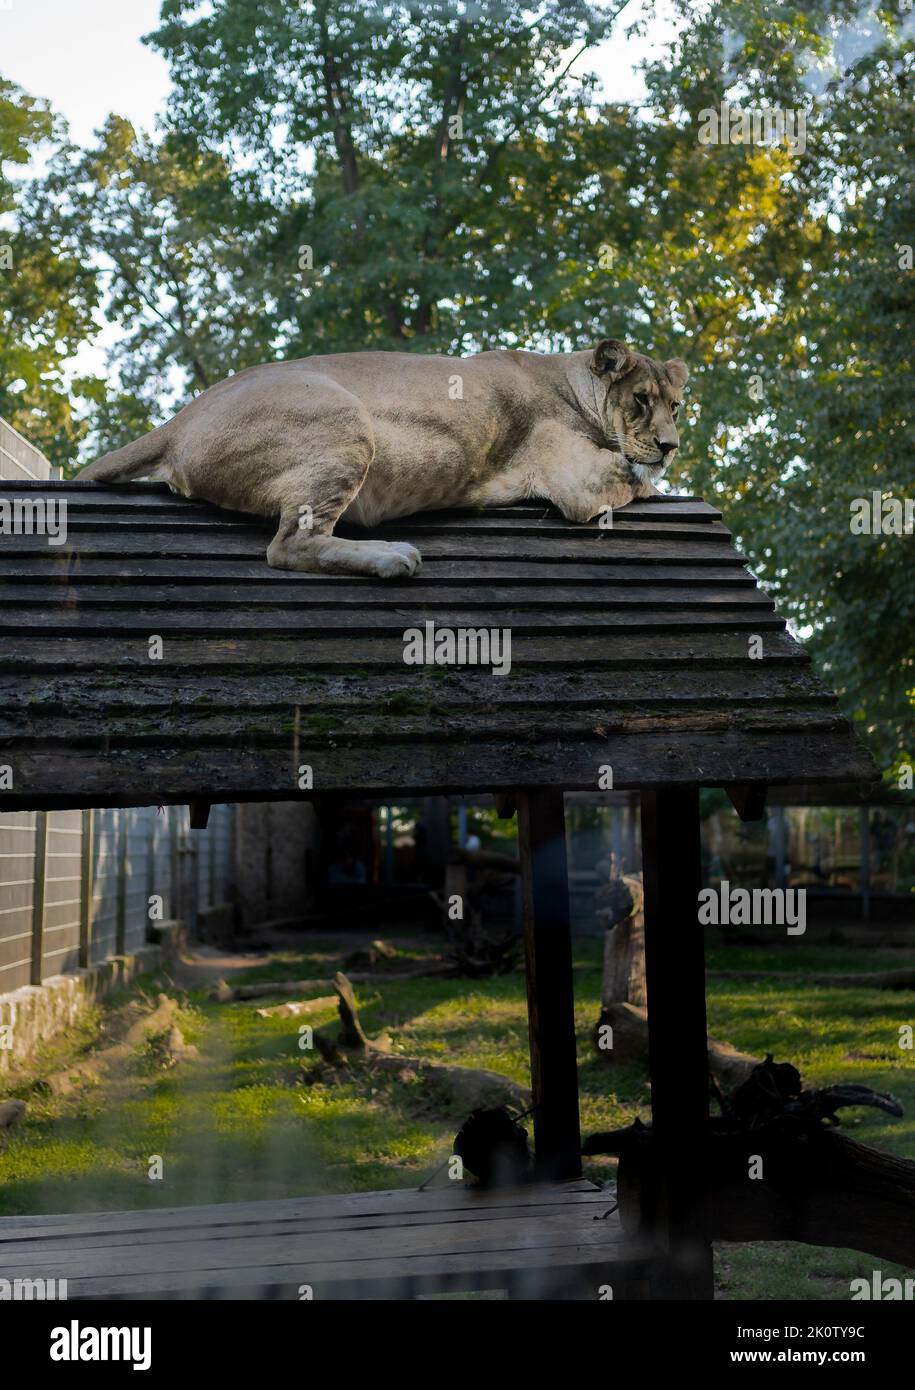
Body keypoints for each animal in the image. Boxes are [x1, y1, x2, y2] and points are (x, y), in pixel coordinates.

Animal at [78, 340, 688, 579]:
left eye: (676, 406)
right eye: (641, 400)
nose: (671, 445)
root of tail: (181, 417)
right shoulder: (578, 480)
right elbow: (636, 480)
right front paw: (656, 478)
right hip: (345, 423)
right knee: (288, 545)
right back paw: (391, 557)